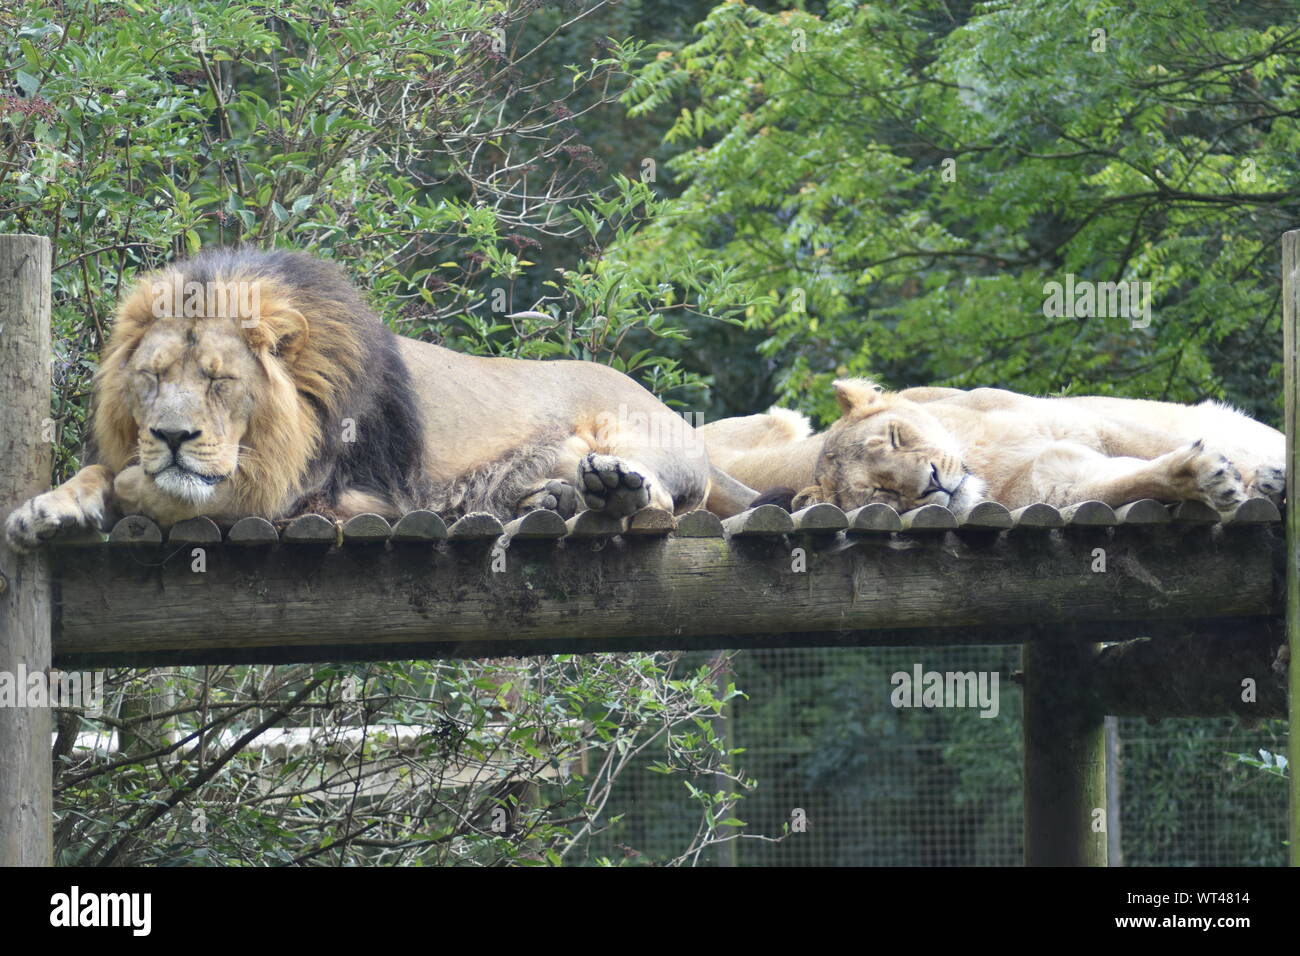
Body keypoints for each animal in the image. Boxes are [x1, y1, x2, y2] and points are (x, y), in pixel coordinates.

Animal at [6, 247, 757, 549]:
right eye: (153, 378)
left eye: (220, 381)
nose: (170, 437)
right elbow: (97, 470)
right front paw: (48, 507)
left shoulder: (333, 494)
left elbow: (186, 493)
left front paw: (134, 487)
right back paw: (558, 497)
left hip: (636, 435)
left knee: (662, 496)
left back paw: (612, 490)